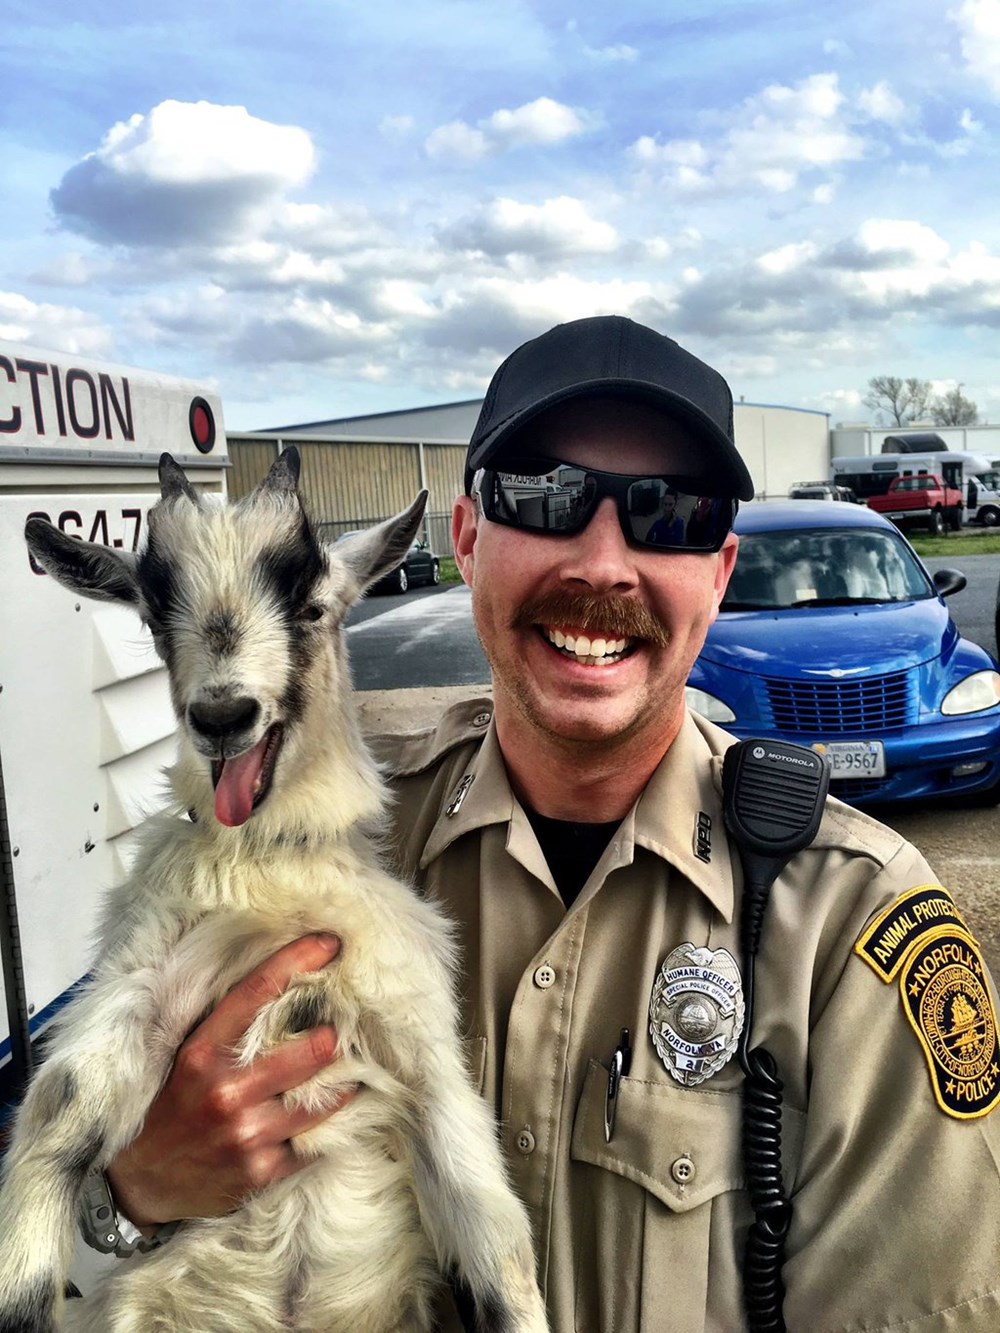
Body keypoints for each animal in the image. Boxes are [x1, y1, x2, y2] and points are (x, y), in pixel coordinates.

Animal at [1, 448, 548, 1333]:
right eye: (156, 612)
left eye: (313, 604)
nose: (223, 713)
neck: (267, 871)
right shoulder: (144, 982)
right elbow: (62, 1098)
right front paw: (21, 1292)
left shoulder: (416, 1037)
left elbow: (497, 1242)